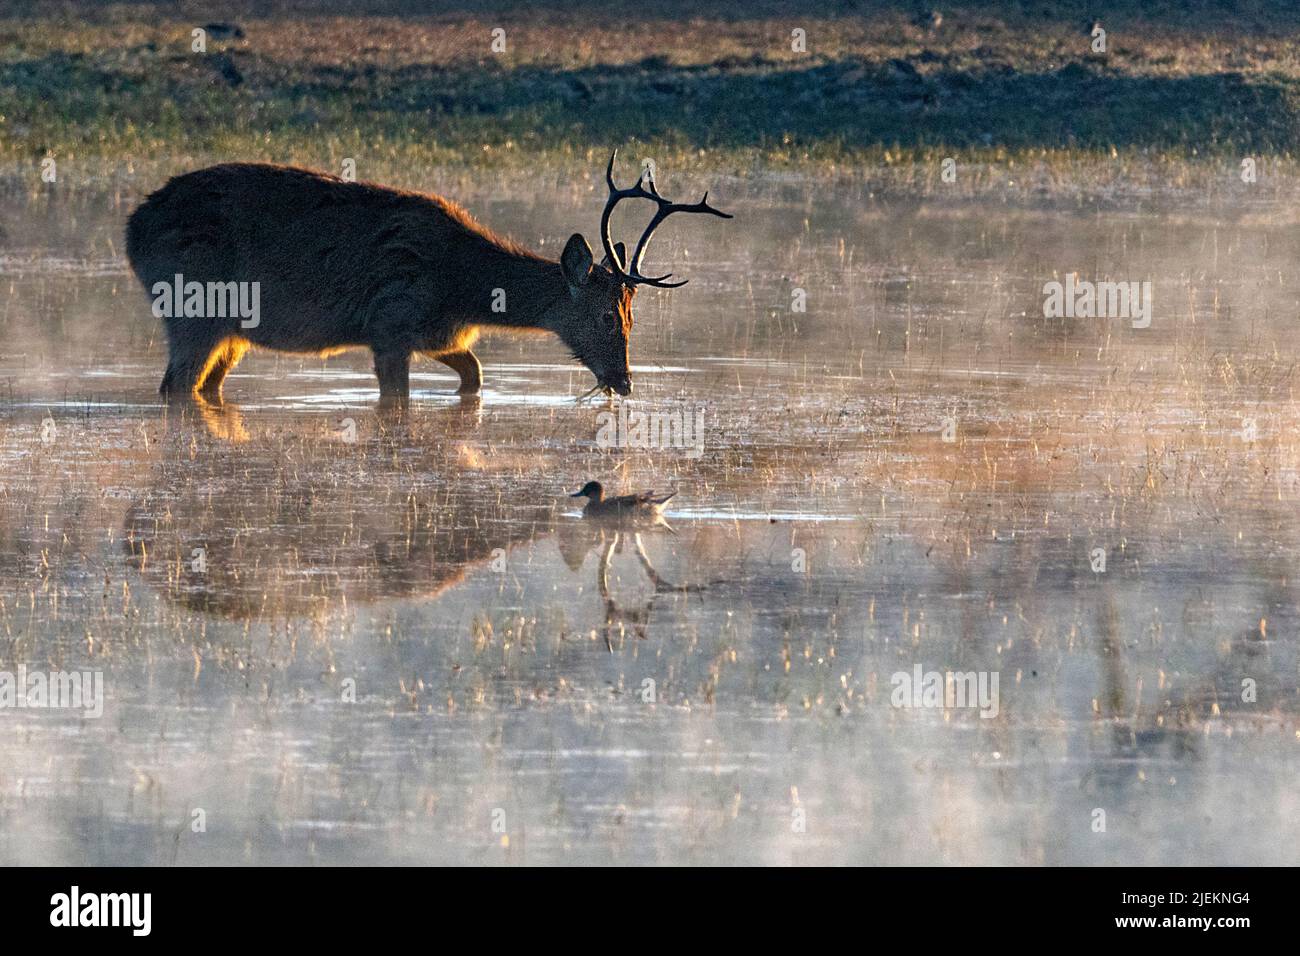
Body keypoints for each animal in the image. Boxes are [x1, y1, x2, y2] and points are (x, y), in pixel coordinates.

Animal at [124, 153, 730, 406]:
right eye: (606, 314)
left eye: (633, 315)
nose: (623, 382)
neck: (460, 286)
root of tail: (131, 231)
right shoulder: (391, 322)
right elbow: (398, 400)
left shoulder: (441, 336)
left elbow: (476, 374)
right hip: (194, 306)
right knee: (176, 385)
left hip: (228, 331)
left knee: (203, 386)